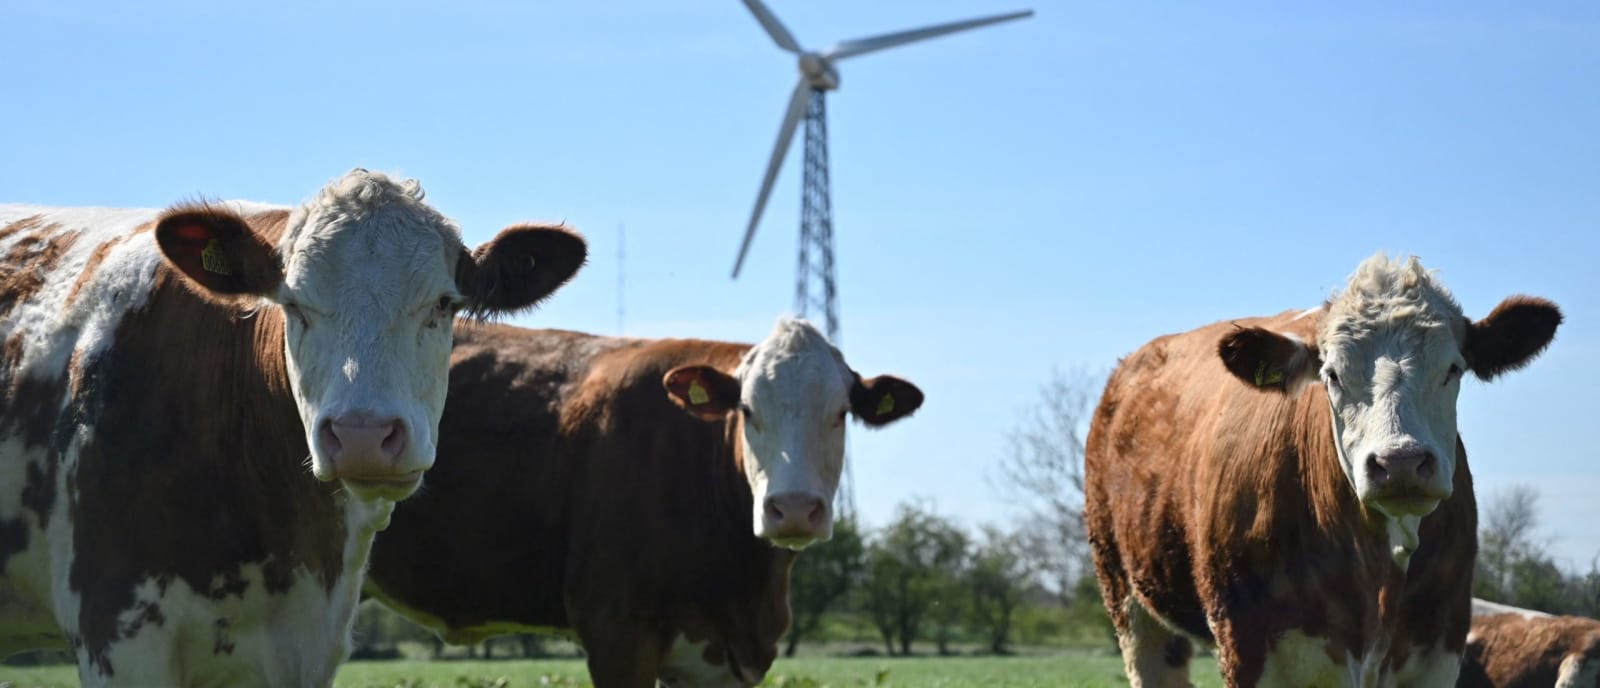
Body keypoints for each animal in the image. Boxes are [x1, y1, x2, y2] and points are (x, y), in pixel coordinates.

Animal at [1084, 253, 1562, 687]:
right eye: (1331, 374)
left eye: (1454, 368)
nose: (1400, 463)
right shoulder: (1253, 644)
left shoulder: (1438, 646)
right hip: (1127, 598)